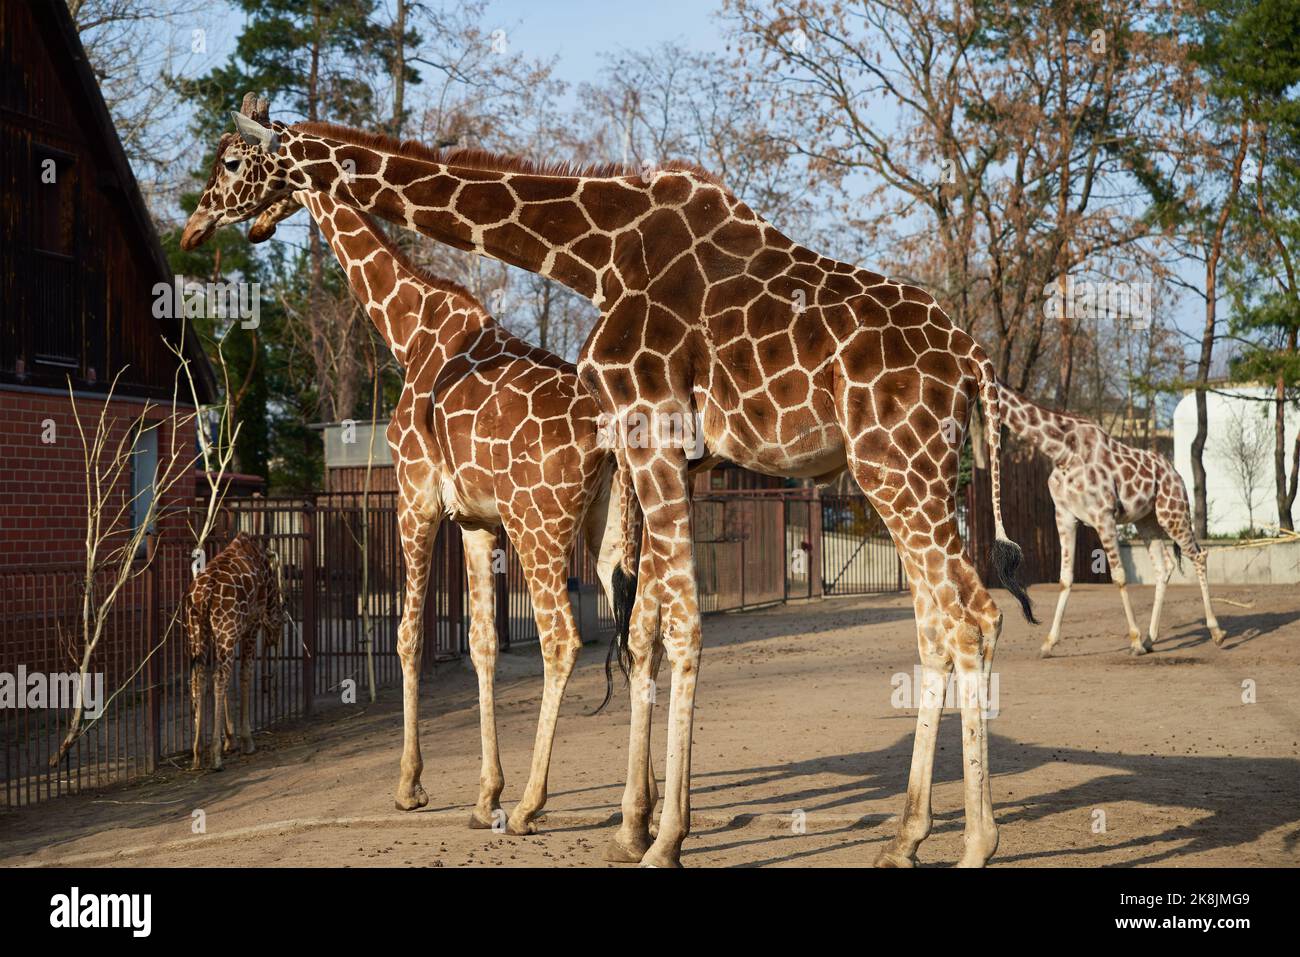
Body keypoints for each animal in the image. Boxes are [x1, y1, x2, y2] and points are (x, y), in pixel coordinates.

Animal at [184, 531, 285, 771]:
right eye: (281, 623)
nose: (274, 640)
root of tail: (205, 594)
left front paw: (230, 740)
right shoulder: (252, 623)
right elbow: (245, 674)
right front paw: (246, 741)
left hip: (196, 632)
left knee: (199, 679)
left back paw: (197, 754)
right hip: (226, 630)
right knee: (220, 676)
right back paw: (215, 757)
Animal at [224, 142, 645, 830]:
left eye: (244, 165)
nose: (254, 226)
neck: (408, 330)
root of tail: (611, 429)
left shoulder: (415, 498)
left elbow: (408, 635)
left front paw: (410, 786)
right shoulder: (476, 521)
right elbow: (480, 642)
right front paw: (483, 795)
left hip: (539, 525)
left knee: (563, 638)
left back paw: (532, 806)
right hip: (608, 524)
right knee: (640, 631)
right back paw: (639, 815)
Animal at [997, 383, 1226, 658]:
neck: (1061, 449)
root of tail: (1176, 473)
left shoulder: (1103, 515)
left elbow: (1118, 574)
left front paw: (1134, 641)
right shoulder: (1064, 516)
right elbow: (1065, 578)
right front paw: (1048, 644)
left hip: (1173, 513)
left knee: (1199, 556)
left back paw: (1216, 632)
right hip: (1147, 521)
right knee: (1164, 567)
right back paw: (1151, 640)